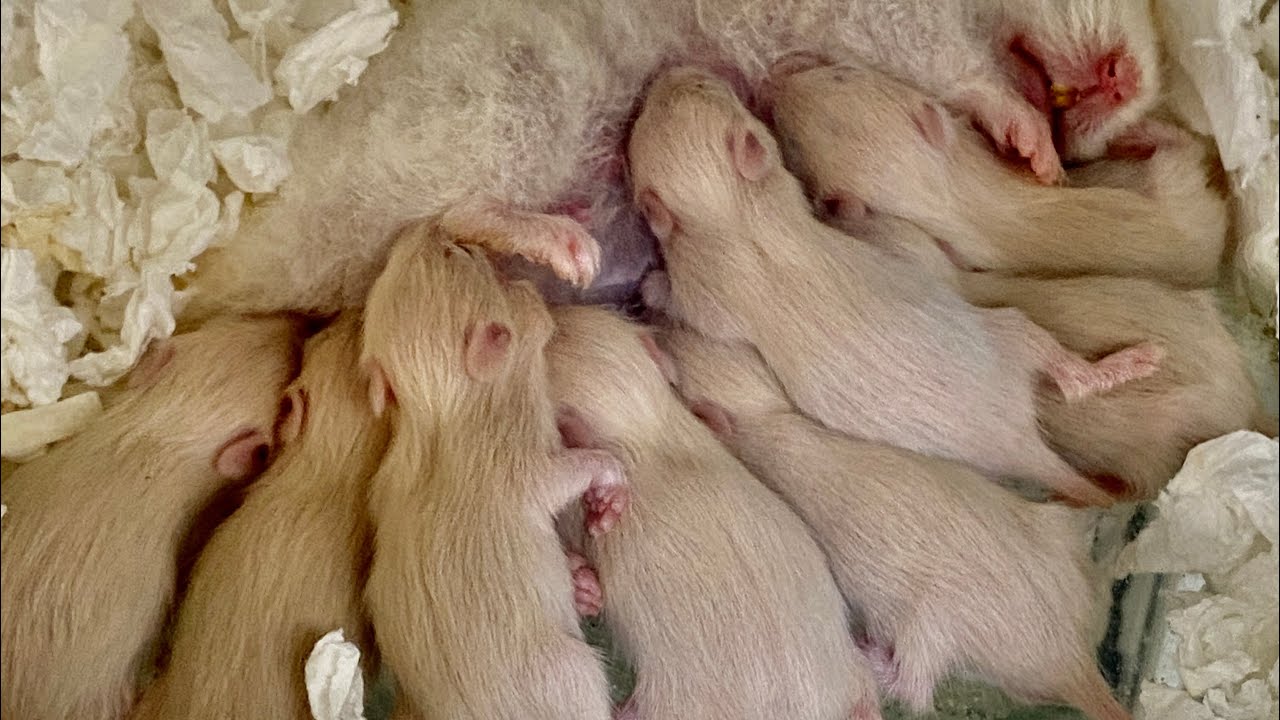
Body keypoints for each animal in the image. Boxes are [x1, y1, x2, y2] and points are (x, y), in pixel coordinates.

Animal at [360, 223, 624, 720]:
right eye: (457, 256)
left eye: (388, 270)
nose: (424, 227)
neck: (441, 412)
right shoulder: (519, 466)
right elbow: (569, 471)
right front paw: (609, 484)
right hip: (574, 670)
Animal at [628, 67, 1160, 506]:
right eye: (654, 107)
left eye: (698, 89)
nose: (676, 70)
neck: (734, 215)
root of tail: (1020, 445)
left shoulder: (710, 282)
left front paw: (651, 285)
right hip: (1014, 339)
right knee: (1069, 378)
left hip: (1011, 335)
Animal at [661, 328, 1131, 720]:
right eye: (689, 332)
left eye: (678, 378)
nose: (656, 324)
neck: (767, 415)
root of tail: (1072, 661)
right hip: (1050, 527)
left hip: (931, 627)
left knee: (913, 686)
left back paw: (868, 652)